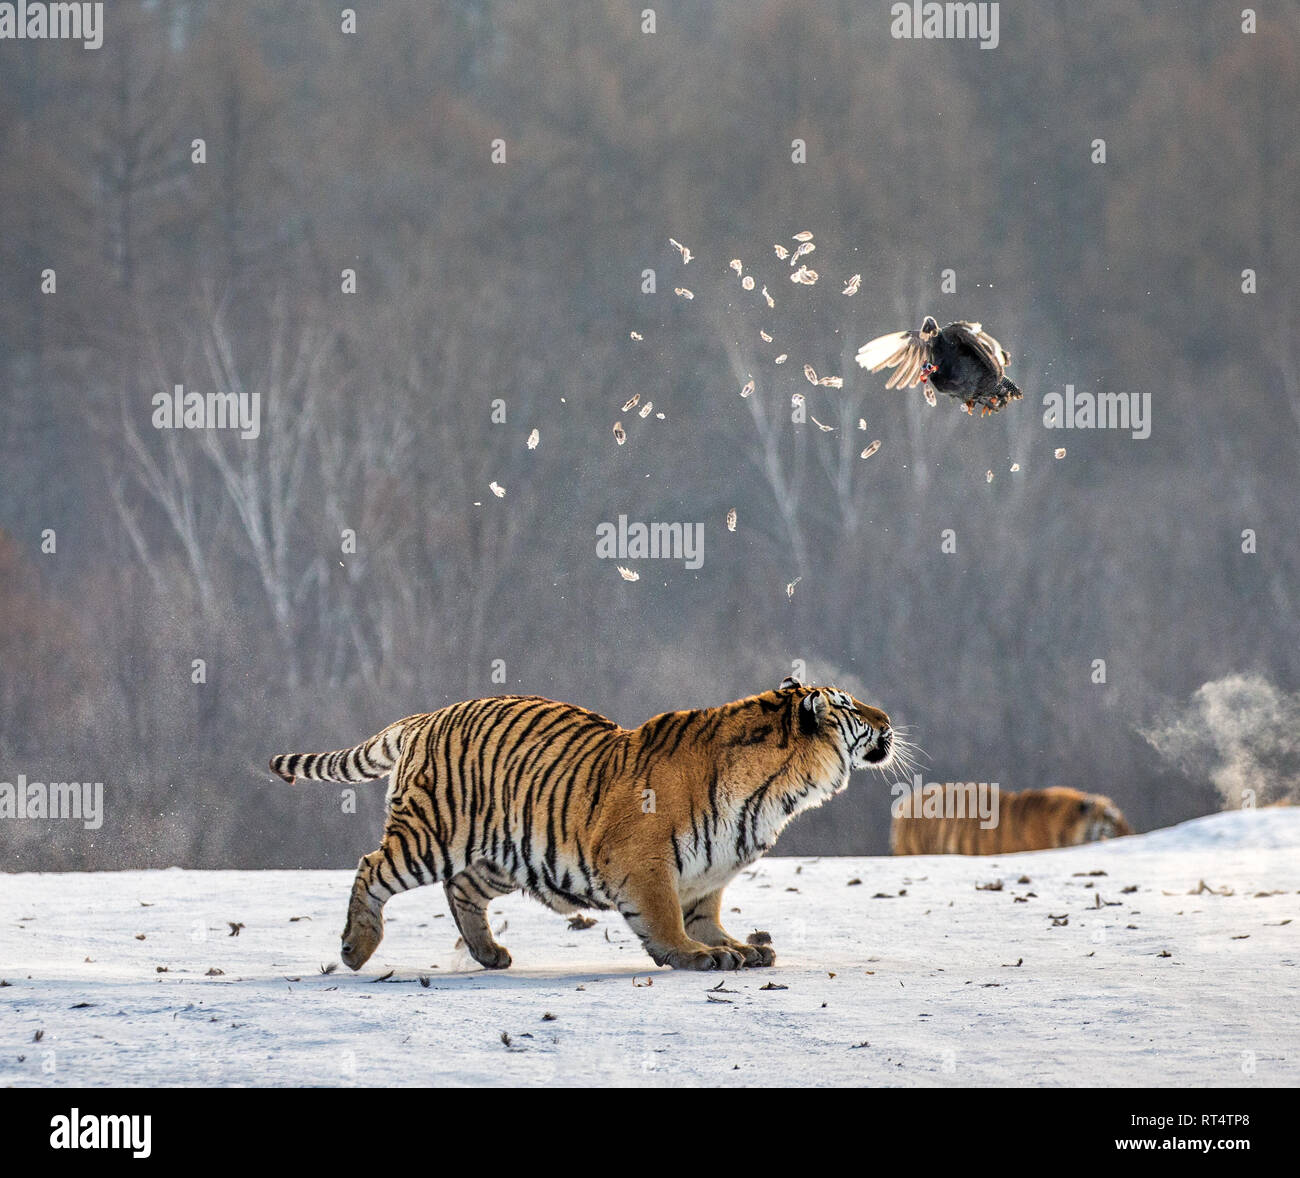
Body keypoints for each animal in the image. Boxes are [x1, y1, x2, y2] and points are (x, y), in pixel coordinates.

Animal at [270, 677, 894, 972]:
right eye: (851, 707)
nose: (887, 717)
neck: (777, 792)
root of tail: (425, 716)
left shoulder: (709, 870)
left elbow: (705, 915)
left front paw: (740, 947)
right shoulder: (647, 861)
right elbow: (667, 919)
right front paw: (696, 955)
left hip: (507, 853)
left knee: (462, 888)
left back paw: (488, 953)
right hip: (433, 834)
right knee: (371, 867)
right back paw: (356, 948)